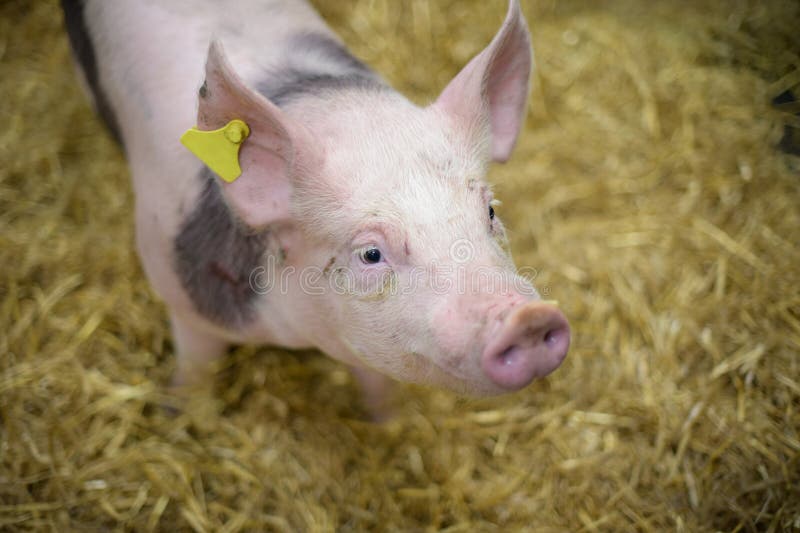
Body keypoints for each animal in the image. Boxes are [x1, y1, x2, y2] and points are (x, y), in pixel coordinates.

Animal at [61, 0, 570, 410]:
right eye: (370, 253)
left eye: (490, 212)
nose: (529, 318)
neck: (290, 330)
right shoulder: (179, 290)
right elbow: (196, 372)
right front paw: (186, 418)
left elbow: (378, 387)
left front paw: (387, 423)